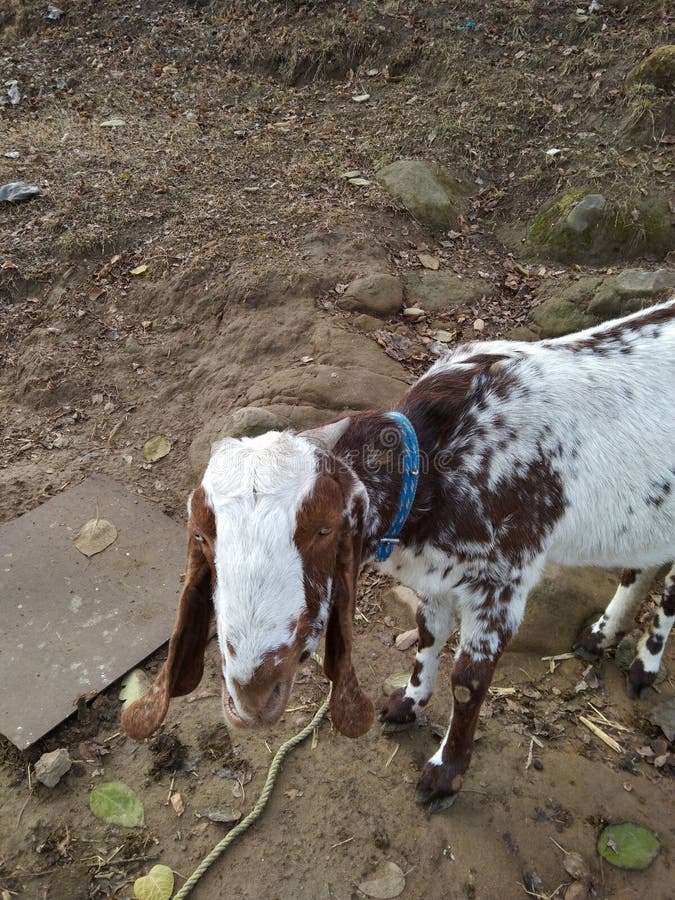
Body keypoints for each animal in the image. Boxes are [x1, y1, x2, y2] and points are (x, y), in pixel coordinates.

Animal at [122, 299, 675, 810]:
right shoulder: (439, 577)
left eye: (324, 528)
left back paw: (644, 665)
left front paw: (445, 773)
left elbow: (468, 681)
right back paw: (602, 634)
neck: (439, 465)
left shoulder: (503, 581)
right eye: (202, 537)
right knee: (646, 562)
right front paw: (407, 703)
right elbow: (427, 636)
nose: (254, 695)